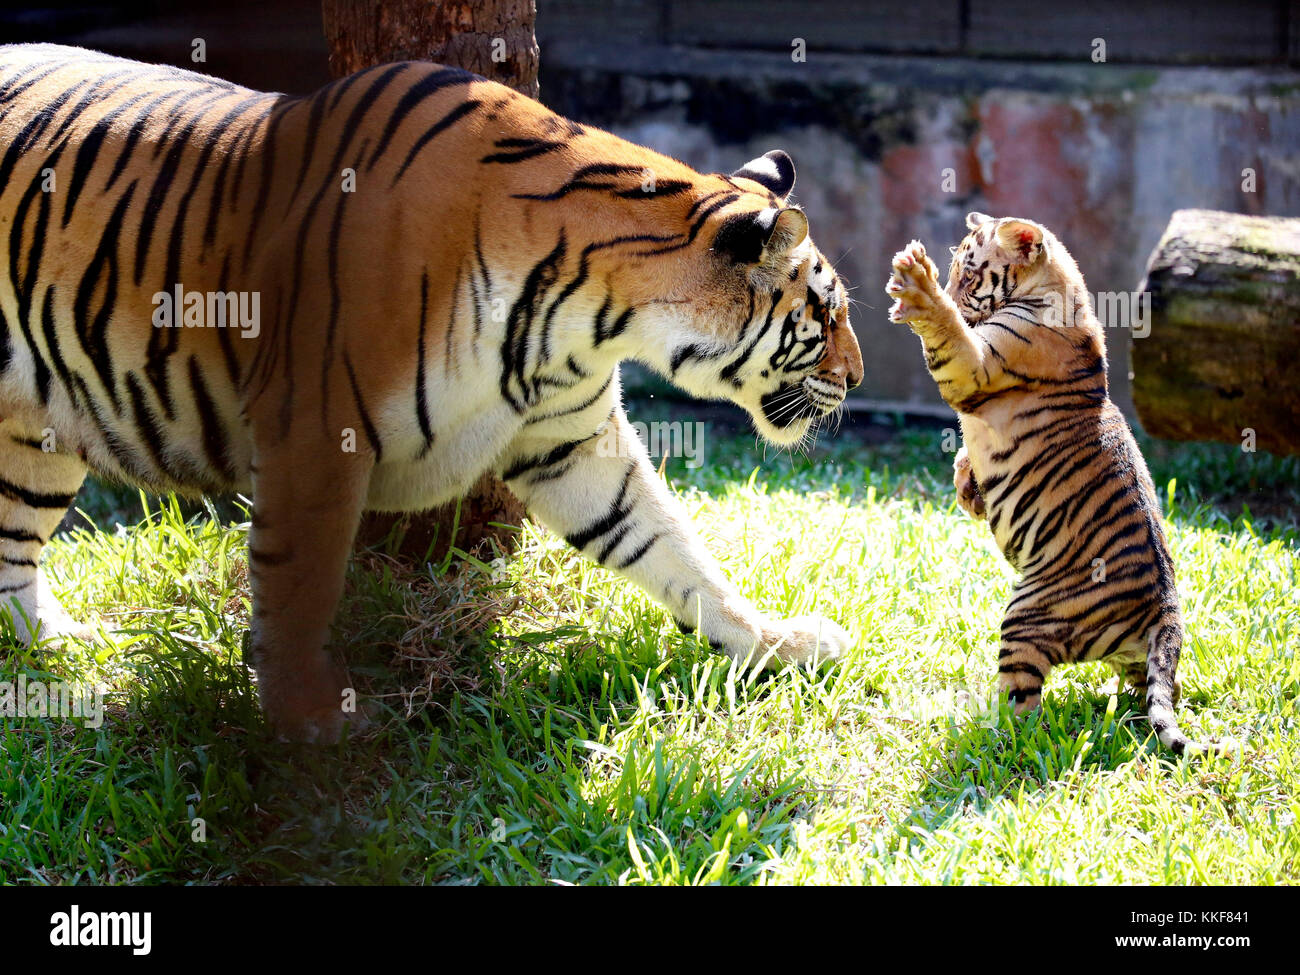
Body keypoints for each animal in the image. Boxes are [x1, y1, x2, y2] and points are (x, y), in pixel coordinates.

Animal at [0, 44, 863, 742]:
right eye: (826, 313)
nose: (856, 377)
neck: (591, 310)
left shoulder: (573, 443)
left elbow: (674, 548)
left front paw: (775, 643)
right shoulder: (314, 437)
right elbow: (298, 581)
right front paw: (310, 719)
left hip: (33, 440)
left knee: (13, 553)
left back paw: (65, 646)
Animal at [885, 212, 1228, 756]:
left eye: (969, 276)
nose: (952, 290)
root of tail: (1167, 608)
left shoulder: (976, 367)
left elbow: (949, 334)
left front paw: (918, 286)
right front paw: (967, 486)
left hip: (1028, 616)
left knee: (1024, 708)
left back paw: (983, 730)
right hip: (1138, 658)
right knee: (1162, 688)